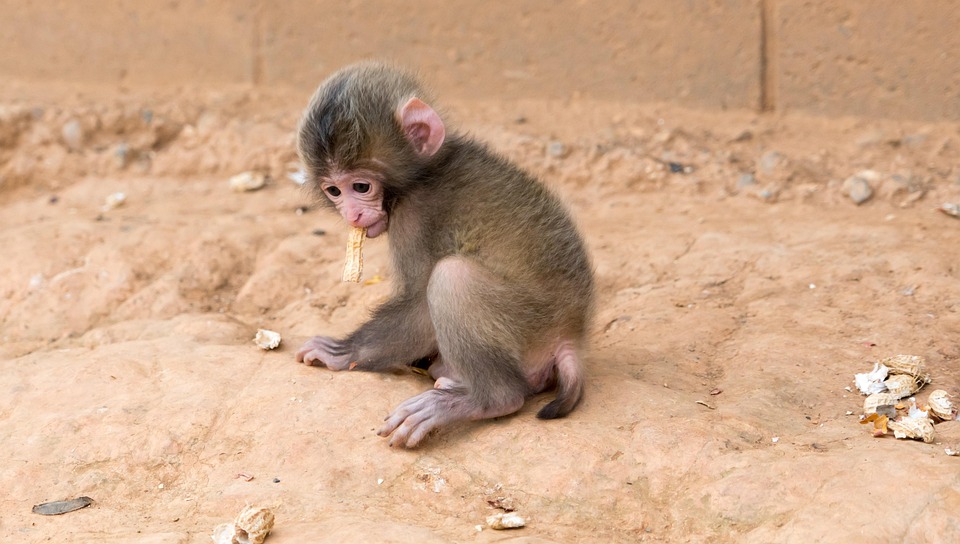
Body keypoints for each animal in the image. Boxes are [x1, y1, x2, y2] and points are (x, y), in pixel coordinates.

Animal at [294, 62, 594, 447]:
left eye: (361, 186)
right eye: (334, 191)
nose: (353, 214)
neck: (425, 171)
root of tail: (571, 333)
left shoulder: (414, 215)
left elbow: (420, 302)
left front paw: (343, 352)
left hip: (532, 321)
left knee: (453, 276)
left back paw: (484, 399)